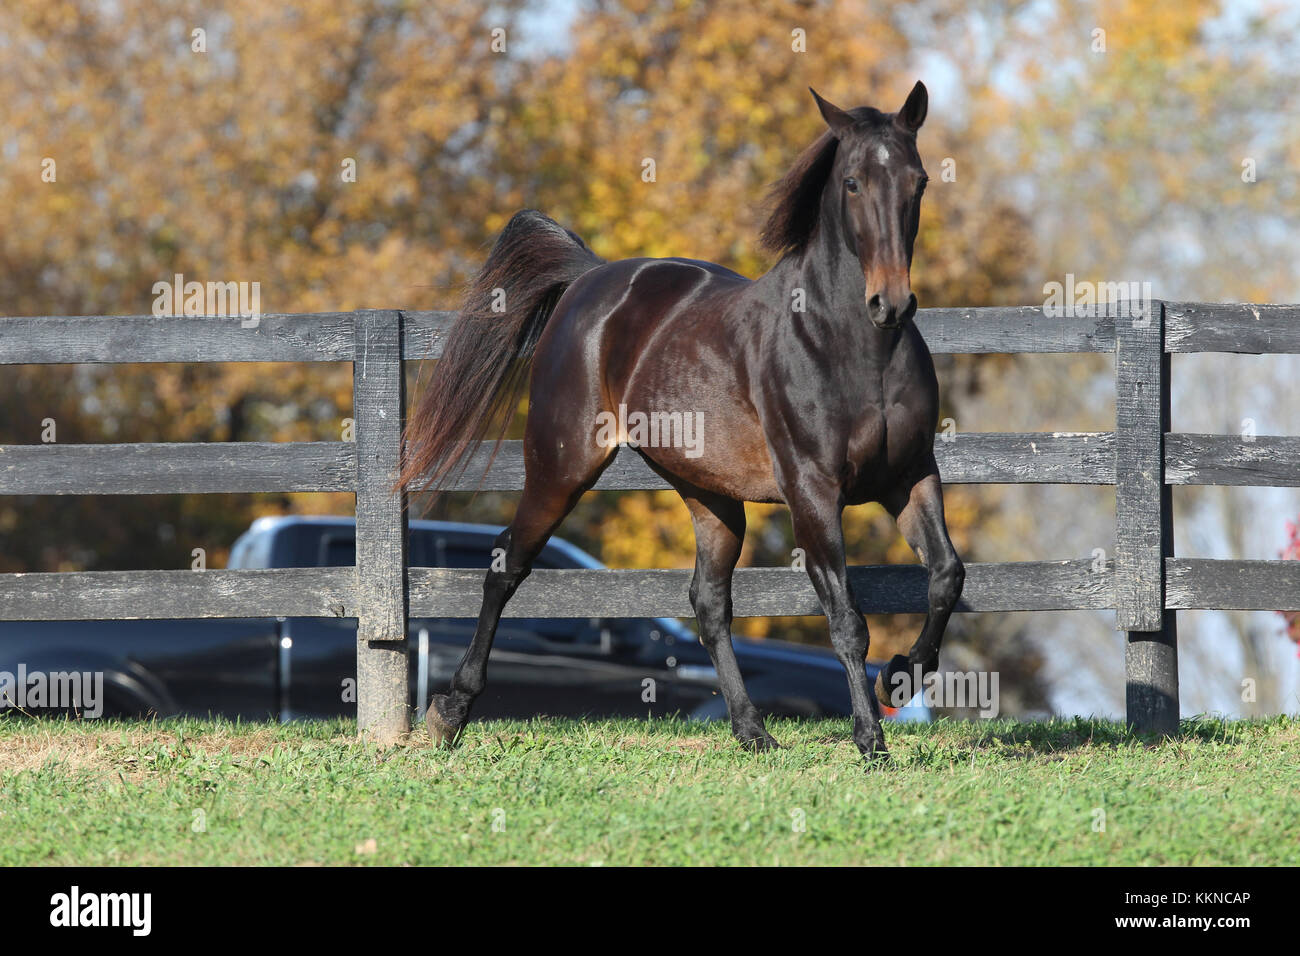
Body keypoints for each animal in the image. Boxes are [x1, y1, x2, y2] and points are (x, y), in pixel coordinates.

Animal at [399, 83, 964, 764]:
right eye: (853, 182)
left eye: (920, 181)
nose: (891, 303)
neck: (850, 347)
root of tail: (589, 278)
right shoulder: (813, 490)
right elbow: (847, 618)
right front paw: (871, 740)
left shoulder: (908, 477)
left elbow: (946, 577)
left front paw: (898, 677)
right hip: (561, 467)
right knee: (507, 563)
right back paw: (449, 714)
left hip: (709, 494)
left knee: (709, 603)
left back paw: (753, 732)